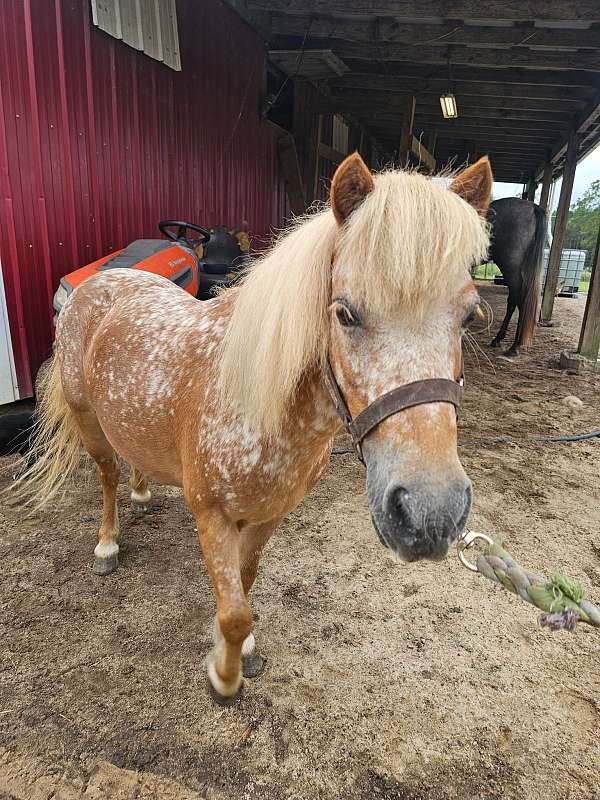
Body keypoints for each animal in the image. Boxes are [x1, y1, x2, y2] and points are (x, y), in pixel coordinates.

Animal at [15, 153, 492, 704]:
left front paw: (237, 651)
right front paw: (225, 674)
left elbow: (244, 584)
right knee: (107, 475)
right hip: (87, 418)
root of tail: (94, 286)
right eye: (344, 313)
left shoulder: (269, 516)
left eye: (469, 315)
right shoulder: (212, 517)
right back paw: (108, 543)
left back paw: (142, 491)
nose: (430, 514)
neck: (258, 405)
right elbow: (235, 611)